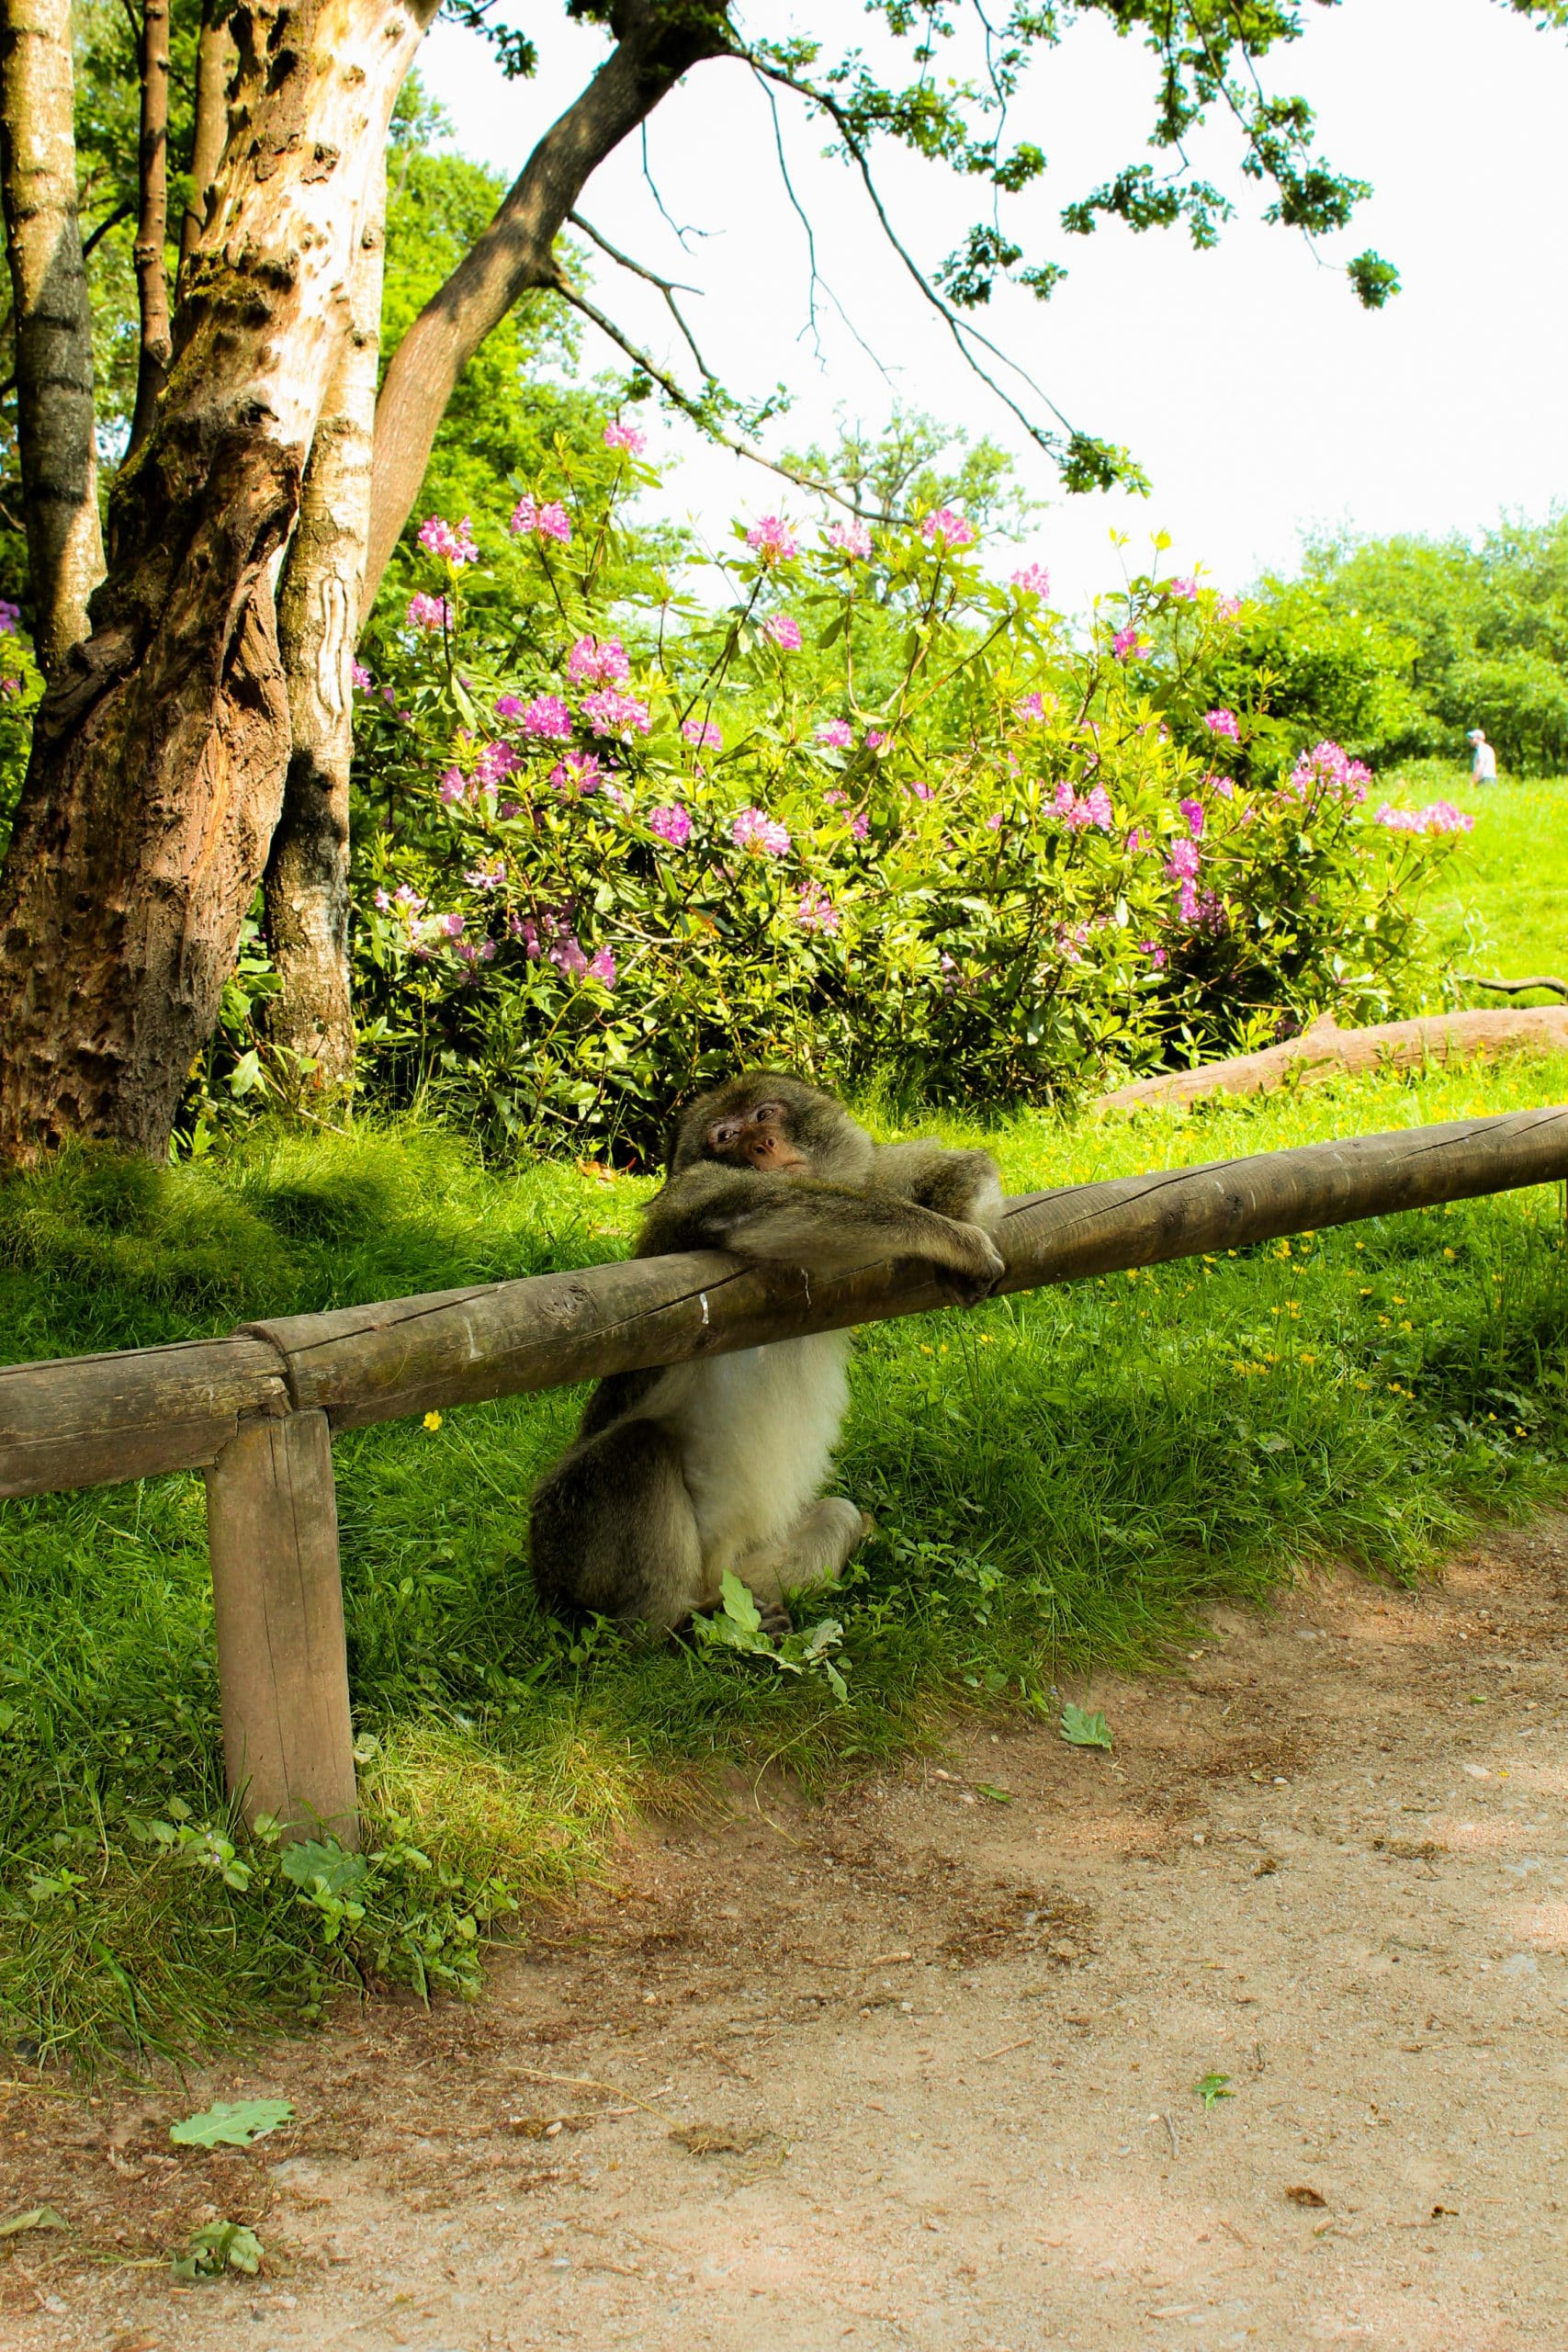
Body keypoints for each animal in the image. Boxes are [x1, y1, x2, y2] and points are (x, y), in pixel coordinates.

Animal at [529, 1071, 1006, 1638]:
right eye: (725, 1136)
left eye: (764, 1115)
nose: (762, 1145)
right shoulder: (695, 1189)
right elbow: (760, 1207)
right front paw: (956, 1240)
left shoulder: (870, 1170)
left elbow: (952, 1165)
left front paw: (957, 1216)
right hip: (561, 1549)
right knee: (637, 1445)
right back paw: (671, 1624)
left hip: (743, 1568)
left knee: (837, 1515)